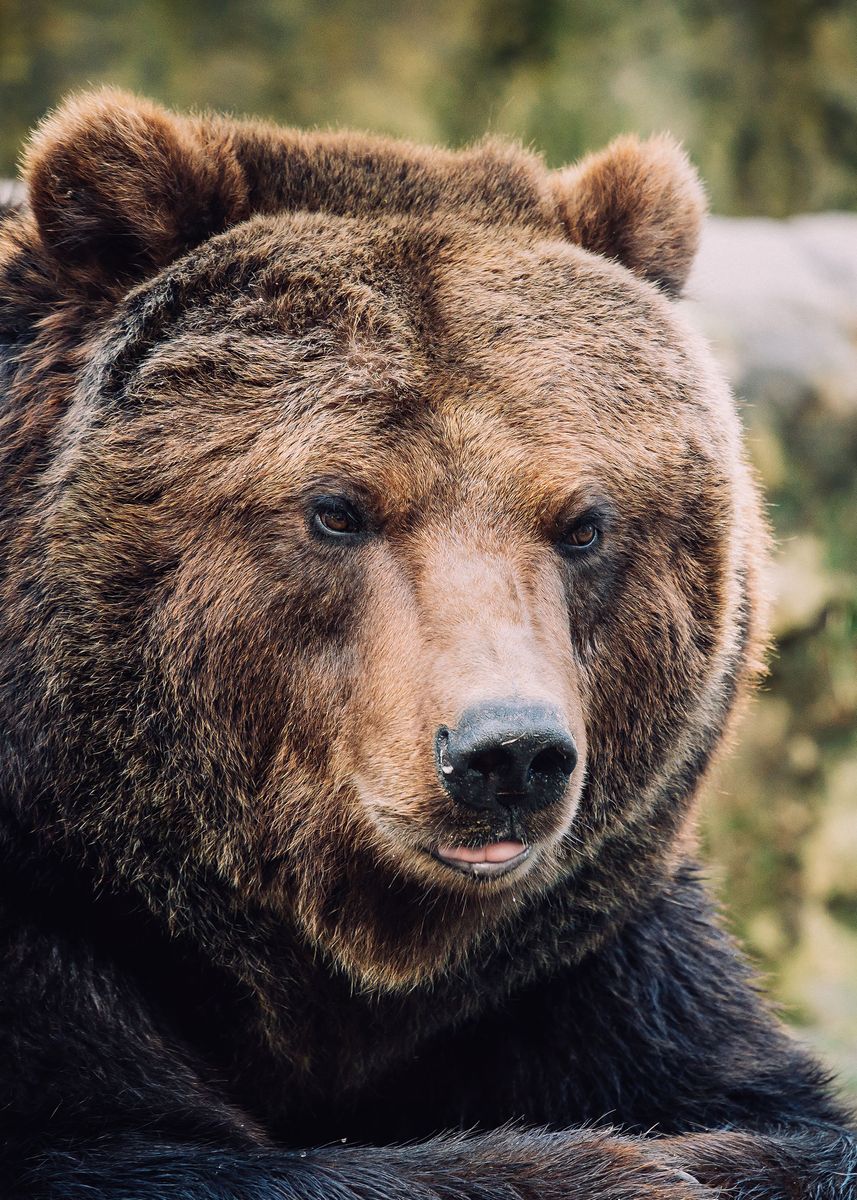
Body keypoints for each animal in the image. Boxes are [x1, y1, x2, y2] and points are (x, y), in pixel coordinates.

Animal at [0, 89, 855, 1200]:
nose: (505, 754)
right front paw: (619, 1165)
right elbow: (119, 1143)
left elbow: (768, 1103)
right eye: (336, 507)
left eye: (583, 522)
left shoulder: (587, 966)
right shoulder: (46, 938)